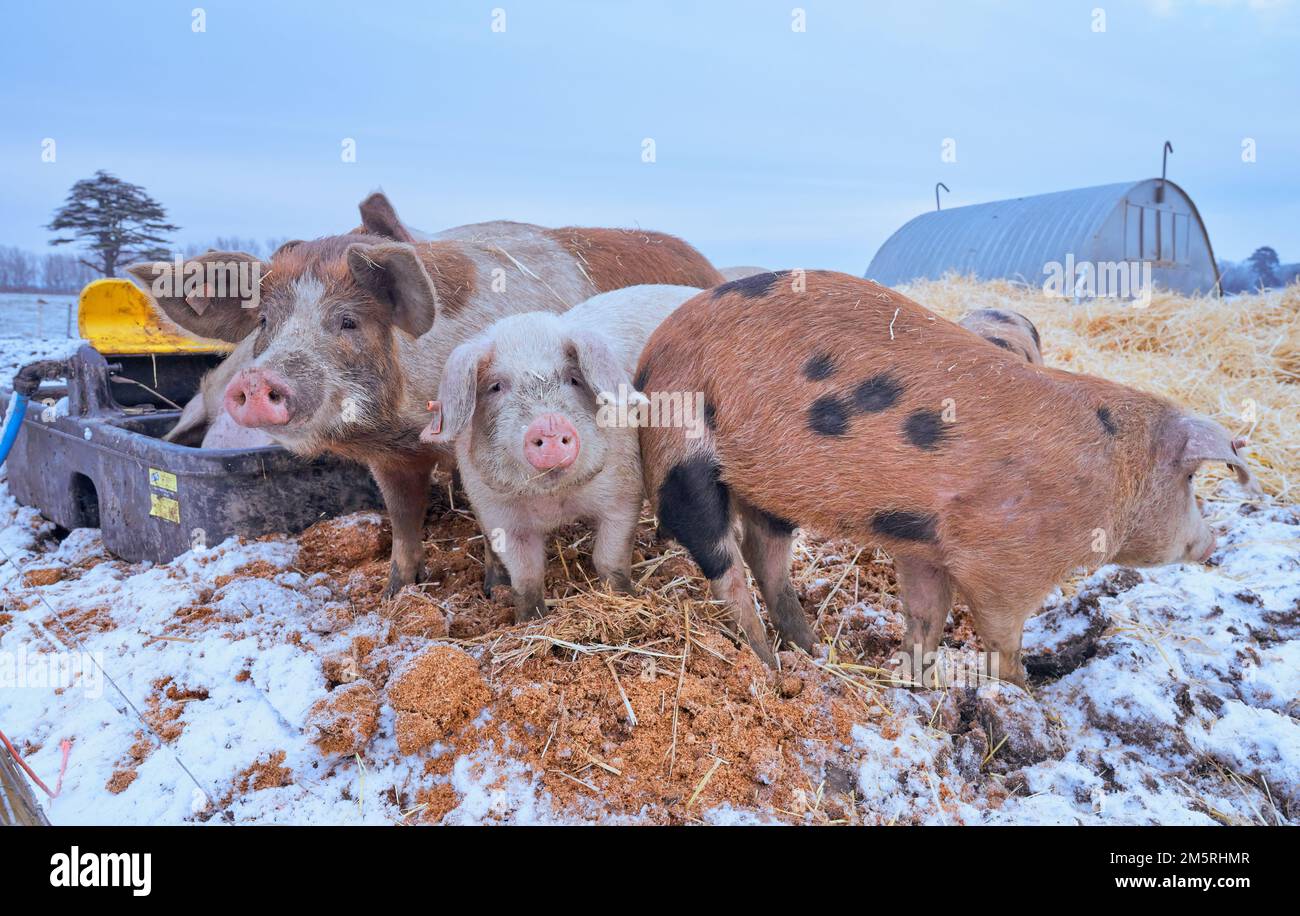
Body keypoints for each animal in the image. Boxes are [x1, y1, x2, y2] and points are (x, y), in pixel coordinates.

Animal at [421, 284, 701, 620]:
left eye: (573, 379)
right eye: (496, 386)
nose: (550, 423)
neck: (556, 502)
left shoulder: (624, 492)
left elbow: (609, 558)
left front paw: (624, 595)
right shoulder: (496, 510)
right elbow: (526, 575)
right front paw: (530, 619)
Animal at [636, 269, 1258, 681]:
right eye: (1191, 482)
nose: (1213, 542)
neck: (1114, 476)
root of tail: (653, 353)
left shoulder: (923, 543)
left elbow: (926, 615)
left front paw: (910, 678)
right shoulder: (1003, 563)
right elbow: (1003, 637)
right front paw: (1022, 691)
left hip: (766, 488)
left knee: (765, 558)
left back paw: (815, 652)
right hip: (681, 455)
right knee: (723, 564)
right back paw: (771, 667)